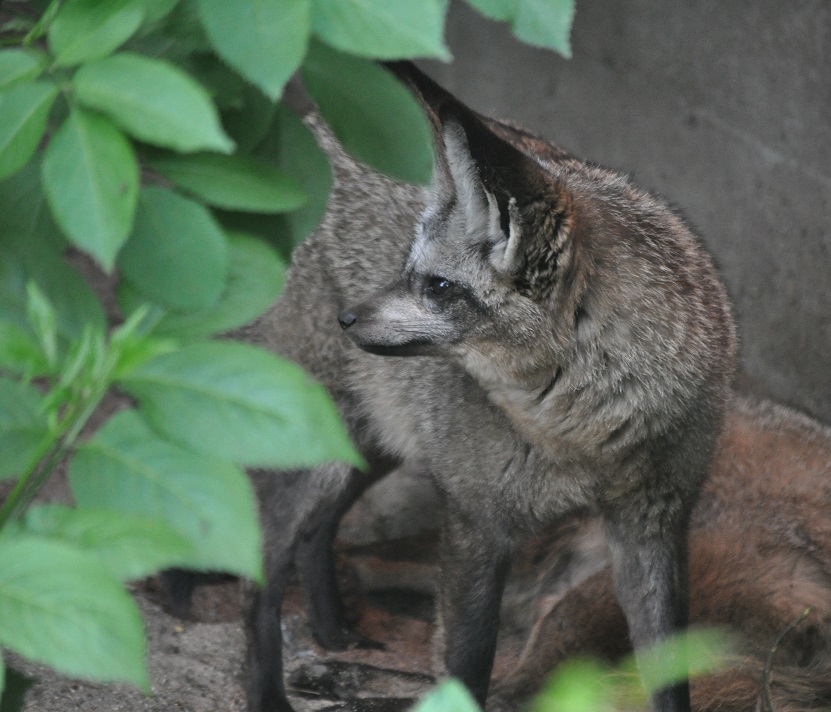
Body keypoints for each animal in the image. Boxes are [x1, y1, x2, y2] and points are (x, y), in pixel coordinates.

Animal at [242, 62, 736, 712]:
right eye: (408, 270)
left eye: (437, 285)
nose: (346, 319)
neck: (584, 440)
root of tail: (307, 133)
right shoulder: (476, 522)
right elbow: (468, 667)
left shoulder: (653, 524)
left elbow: (669, 670)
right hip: (319, 459)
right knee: (259, 581)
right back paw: (271, 688)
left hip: (372, 445)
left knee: (316, 535)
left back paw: (333, 631)